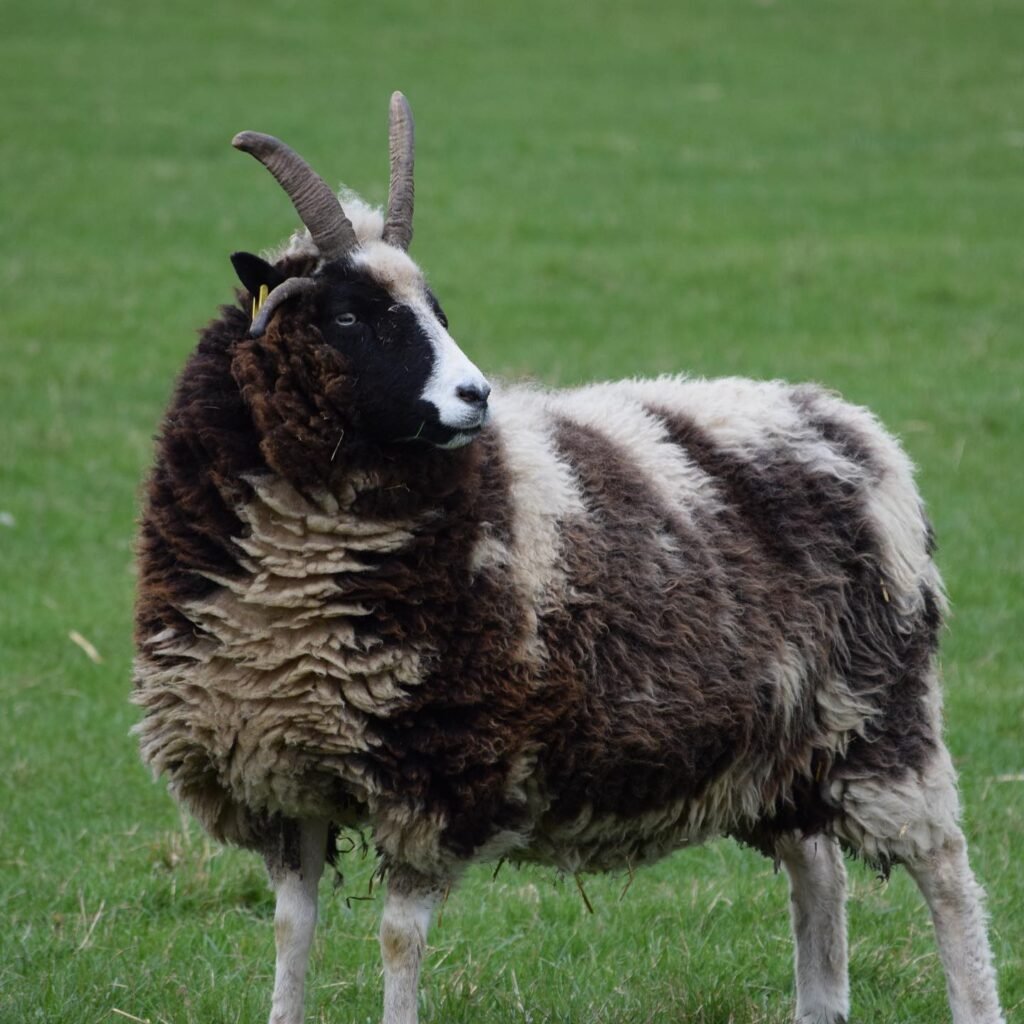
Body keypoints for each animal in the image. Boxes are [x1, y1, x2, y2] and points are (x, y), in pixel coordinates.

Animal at [133, 91, 1005, 1024]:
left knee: (946, 872)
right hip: (777, 745)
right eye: (347, 315)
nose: (474, 397)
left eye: (437, 309)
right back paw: (819, 1003)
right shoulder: (278, 770)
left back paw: (971, 992)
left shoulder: (439, 769)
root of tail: (852, 425)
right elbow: (291, 931)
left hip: (881, 716)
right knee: (819, 871)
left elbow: (398, 940)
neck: (293, 597)